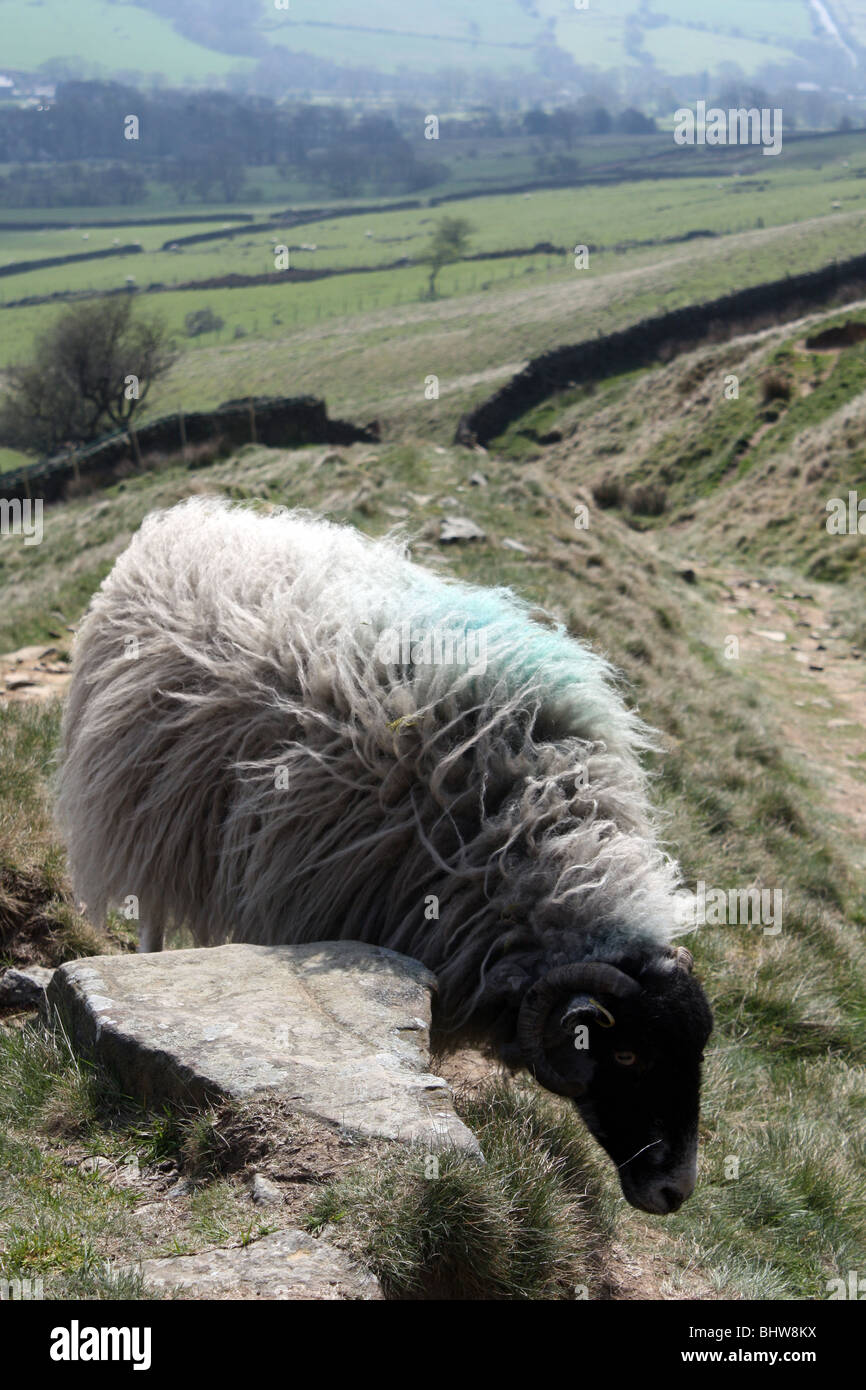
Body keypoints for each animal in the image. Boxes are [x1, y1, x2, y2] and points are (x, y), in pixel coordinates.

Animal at [56, 497, 712, 1214]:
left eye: (697, 1055)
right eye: (626, 1057)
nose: (675, 1191)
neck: (515, 839)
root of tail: (186, 518)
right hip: (145, 805)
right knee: (150, 907)